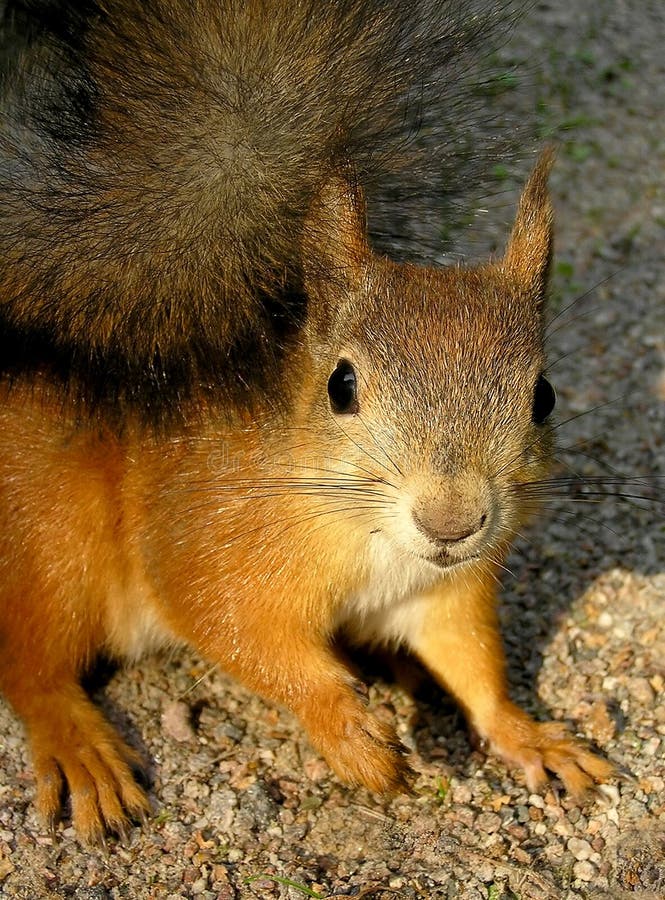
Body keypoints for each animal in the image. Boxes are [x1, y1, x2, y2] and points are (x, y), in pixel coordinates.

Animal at [0, 1, 615, 845]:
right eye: (341, 386)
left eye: (544, 396)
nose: (451, 521)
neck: (371, 543)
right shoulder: (214, 541)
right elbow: (237, 630)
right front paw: (345, 726)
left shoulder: (441, 592)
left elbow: (473, 662)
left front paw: (527, 733)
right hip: (56, 534)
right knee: (30, 661)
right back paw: (77, 743)